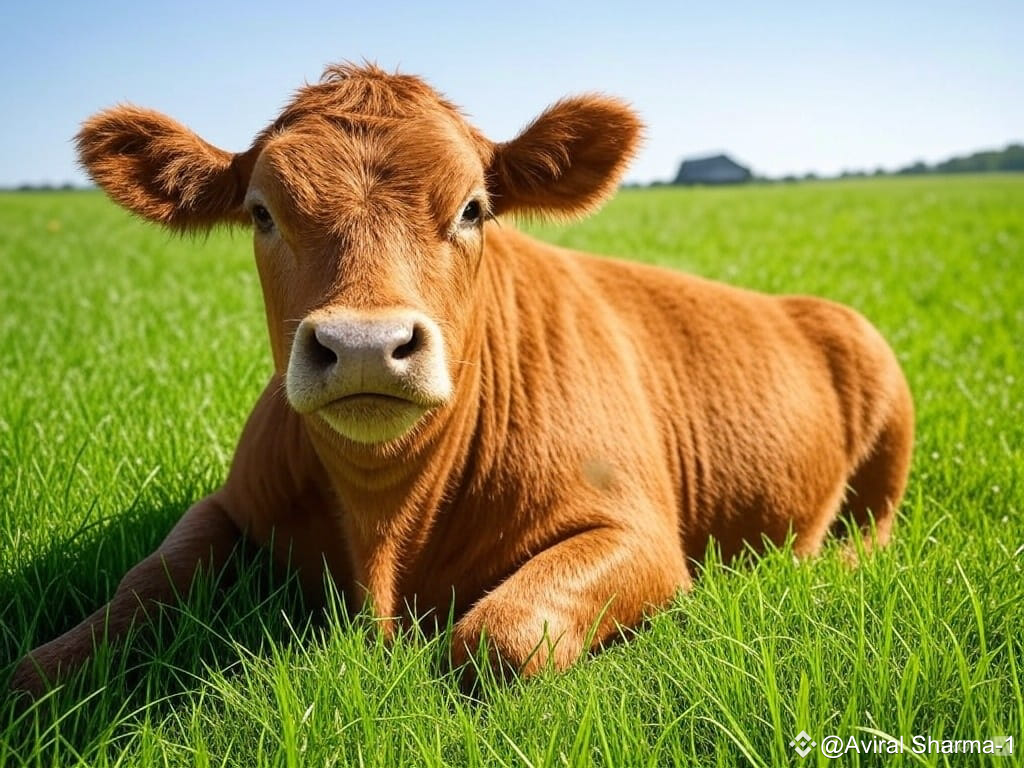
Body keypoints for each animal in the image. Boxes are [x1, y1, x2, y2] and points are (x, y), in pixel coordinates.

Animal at [12, 63, 914, 695]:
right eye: (263, 213)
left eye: (473, 208)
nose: (365, 345)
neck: (383, 523)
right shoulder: (228, 503)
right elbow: (139, 583)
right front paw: (50, 666)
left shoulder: (642, 536)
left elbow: (498, 635)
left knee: (871, 530)